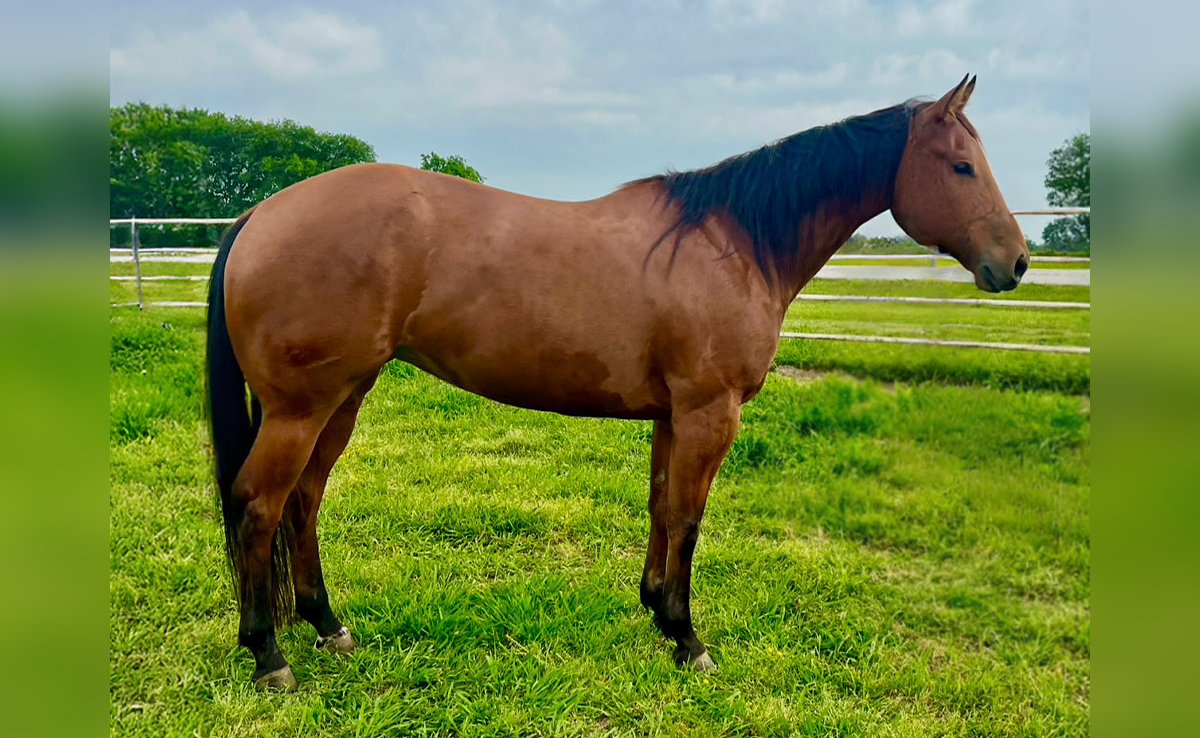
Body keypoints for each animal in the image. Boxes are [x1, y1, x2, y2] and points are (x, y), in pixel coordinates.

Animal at [205, 74, 1027, 690]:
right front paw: (690, 640)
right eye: (961, 166)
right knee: (258, 507)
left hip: (342, 397)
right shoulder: (709, 414)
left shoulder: (673, 416)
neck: (731, 243)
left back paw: (328, 626)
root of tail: (261, 213)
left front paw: (657, 612)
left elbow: (662, 508)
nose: (1015, 263)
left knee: (303, 501)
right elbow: (689, 519)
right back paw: (269, 656)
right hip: (301, 408)